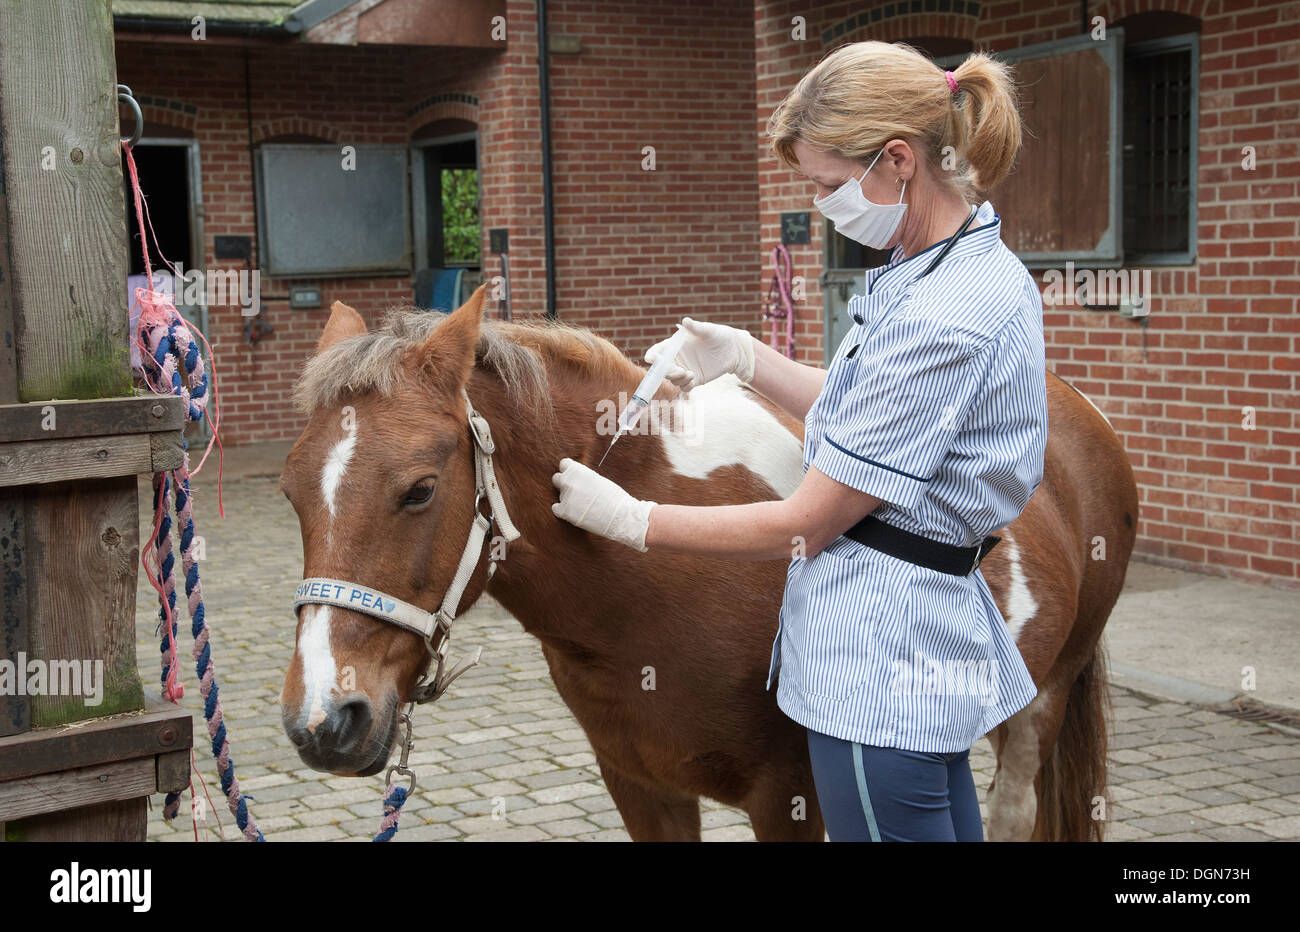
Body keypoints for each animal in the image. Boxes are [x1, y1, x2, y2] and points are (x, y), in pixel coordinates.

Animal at [278, 285, 1138, 841]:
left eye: (420, 490)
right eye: (289, 492)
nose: (323, 719)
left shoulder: (791, 798)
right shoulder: (639, 786)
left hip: (1041, 703)